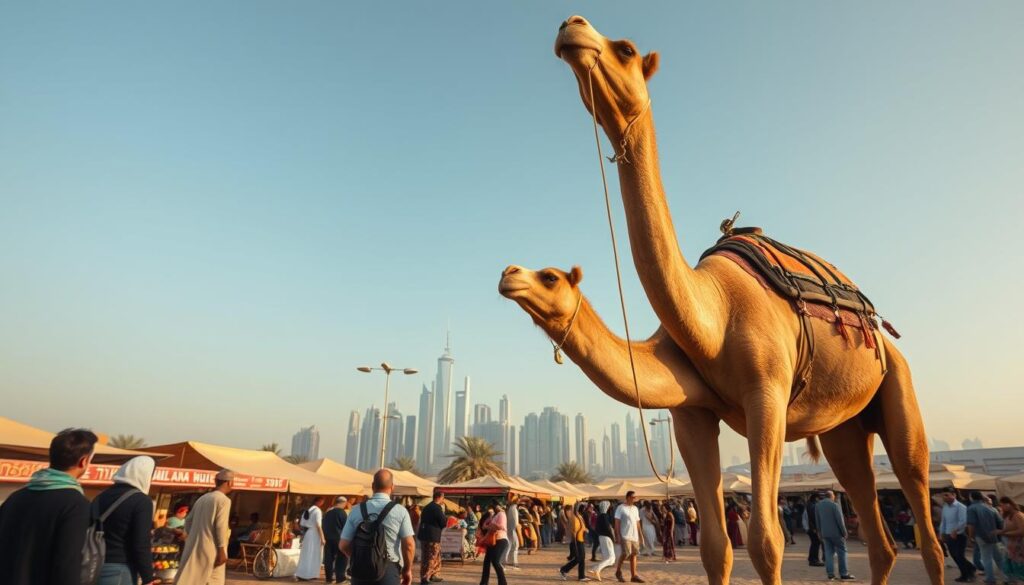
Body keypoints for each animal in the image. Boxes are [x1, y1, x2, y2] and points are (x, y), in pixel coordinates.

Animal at [549, 15, 943, 585]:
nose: (571, 26)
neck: (711, 316)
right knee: (876, 529)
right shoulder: (691, 414)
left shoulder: (768, 393)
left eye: (624, 48)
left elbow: (765, 540)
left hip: (899, 383)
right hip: (845, 426)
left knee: (920, 501)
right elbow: (716, 545)